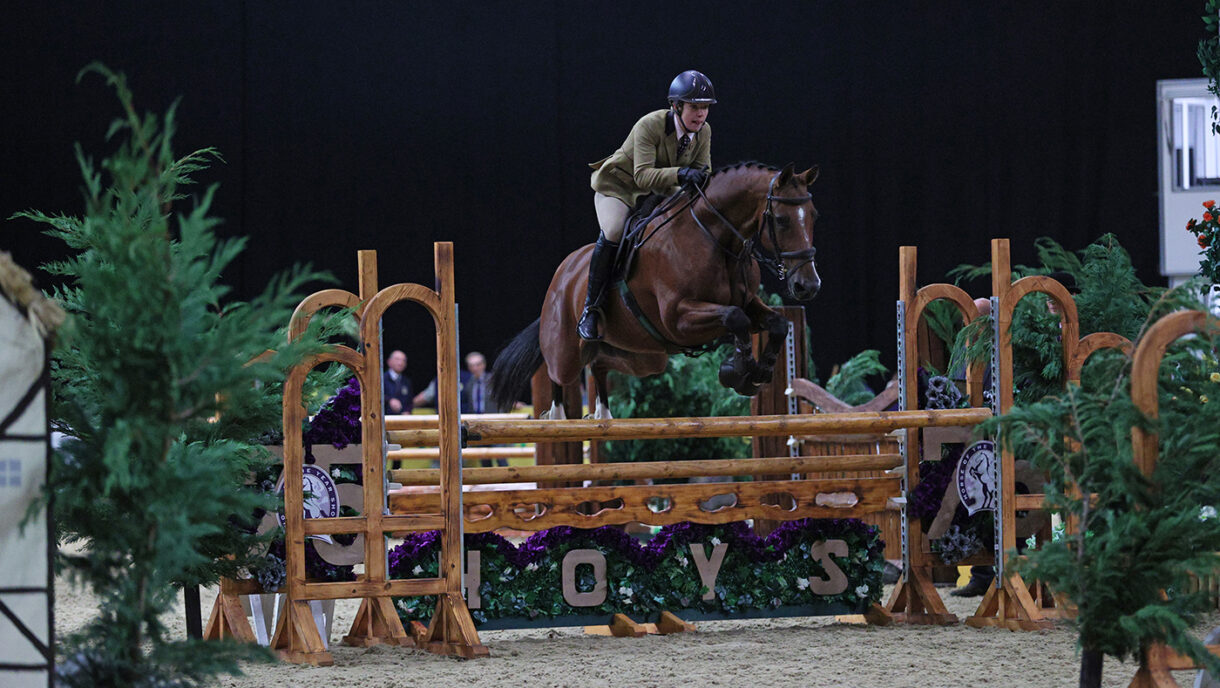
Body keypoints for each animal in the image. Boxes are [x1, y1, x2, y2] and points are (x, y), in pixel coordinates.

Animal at [489, 162, 822, 419]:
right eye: (782, 220)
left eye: (814, 216)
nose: (808, 285)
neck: (715, 238)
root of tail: (563, 273)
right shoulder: (679, 318)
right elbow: (734, 318)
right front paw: (738, 371)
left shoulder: (748, 302)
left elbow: (776, 323)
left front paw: (758, 373)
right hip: (566, 351)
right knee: (558, 376)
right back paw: (557, 415)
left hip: (644, 357)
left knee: (600, 363)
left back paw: (602, 412)